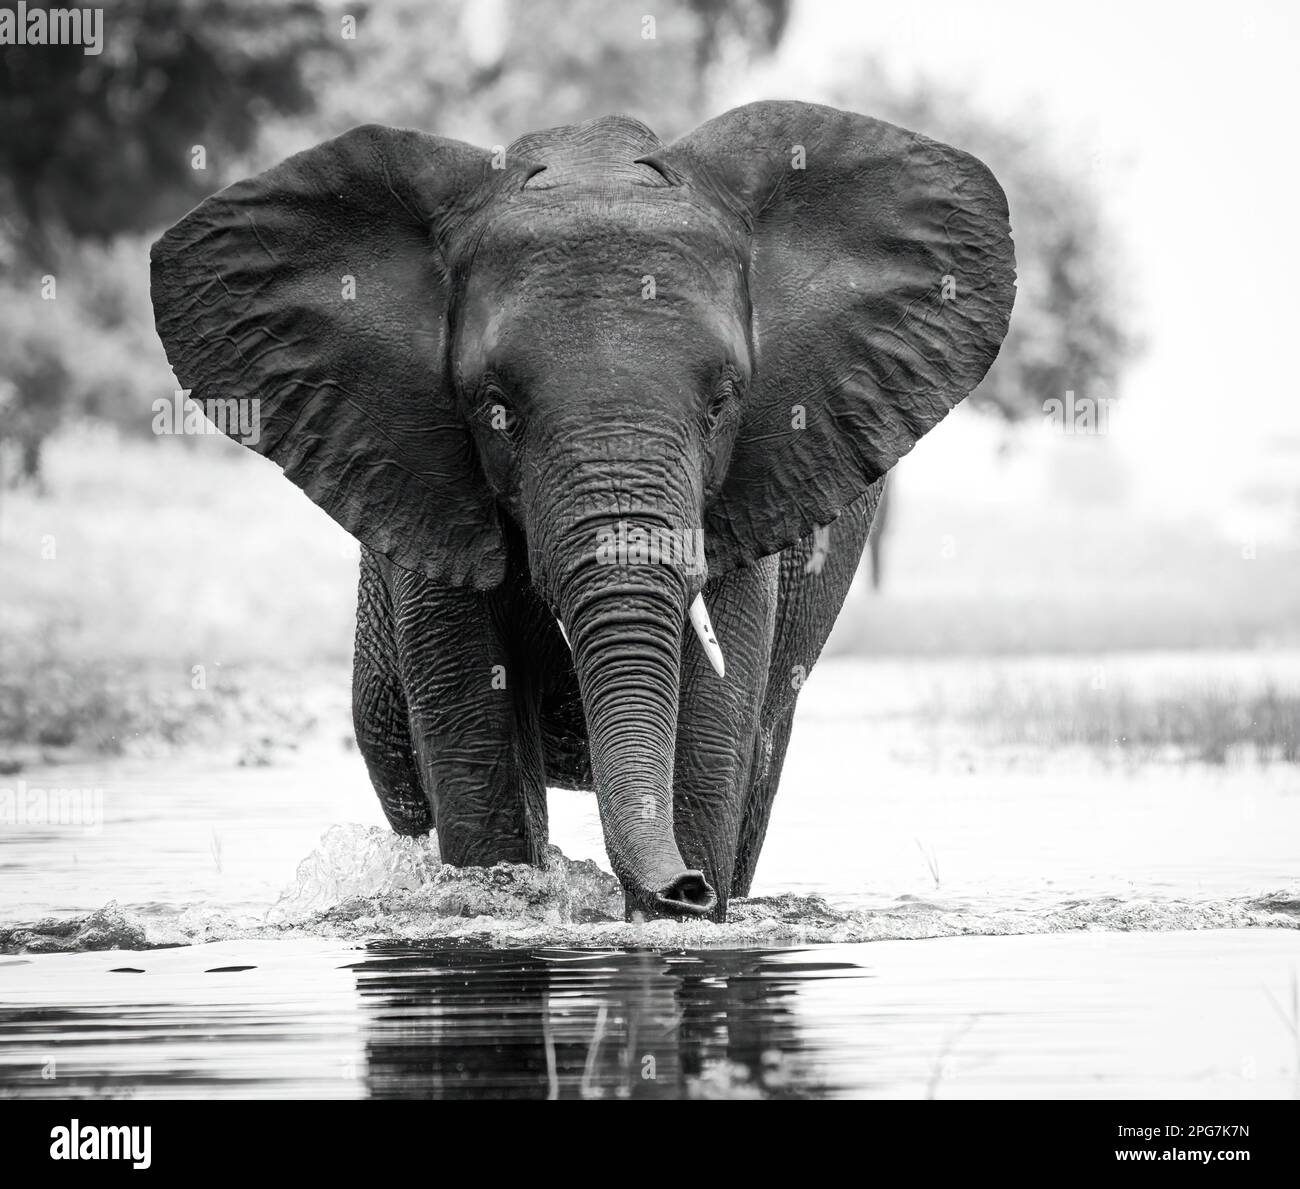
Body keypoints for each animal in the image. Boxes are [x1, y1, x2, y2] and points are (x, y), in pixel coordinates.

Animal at [150, 101, 1015, 921]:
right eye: (495, 409)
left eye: (723, 403)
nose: (684, 887)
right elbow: (476, 748)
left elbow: (710, 734)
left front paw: (682, 917)